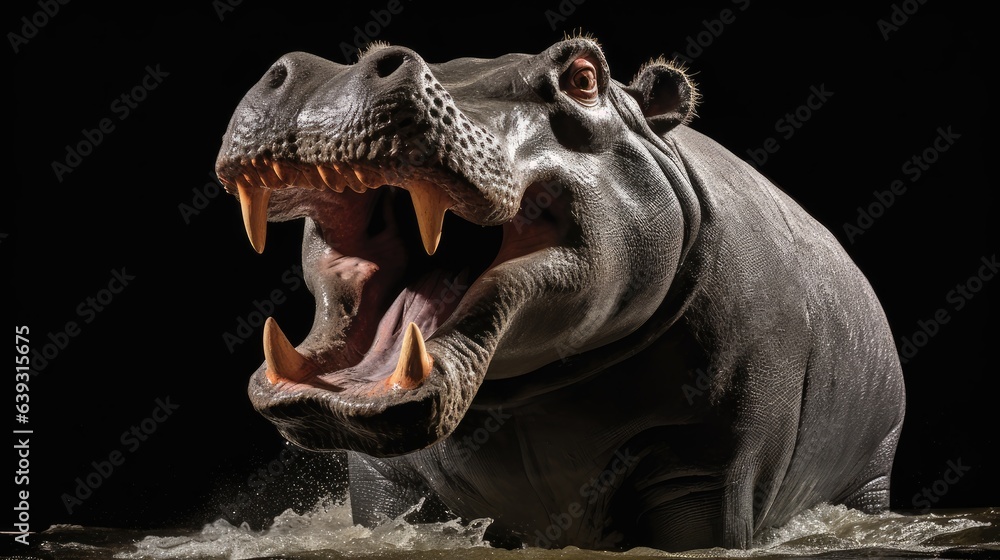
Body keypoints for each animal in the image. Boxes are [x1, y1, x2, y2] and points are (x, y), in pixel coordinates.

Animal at [213, 37, 906, 551]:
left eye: (583, 76)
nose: (328, 76)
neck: (529, 397)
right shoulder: (384, 479)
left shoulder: (708, 471)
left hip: (871, 468)